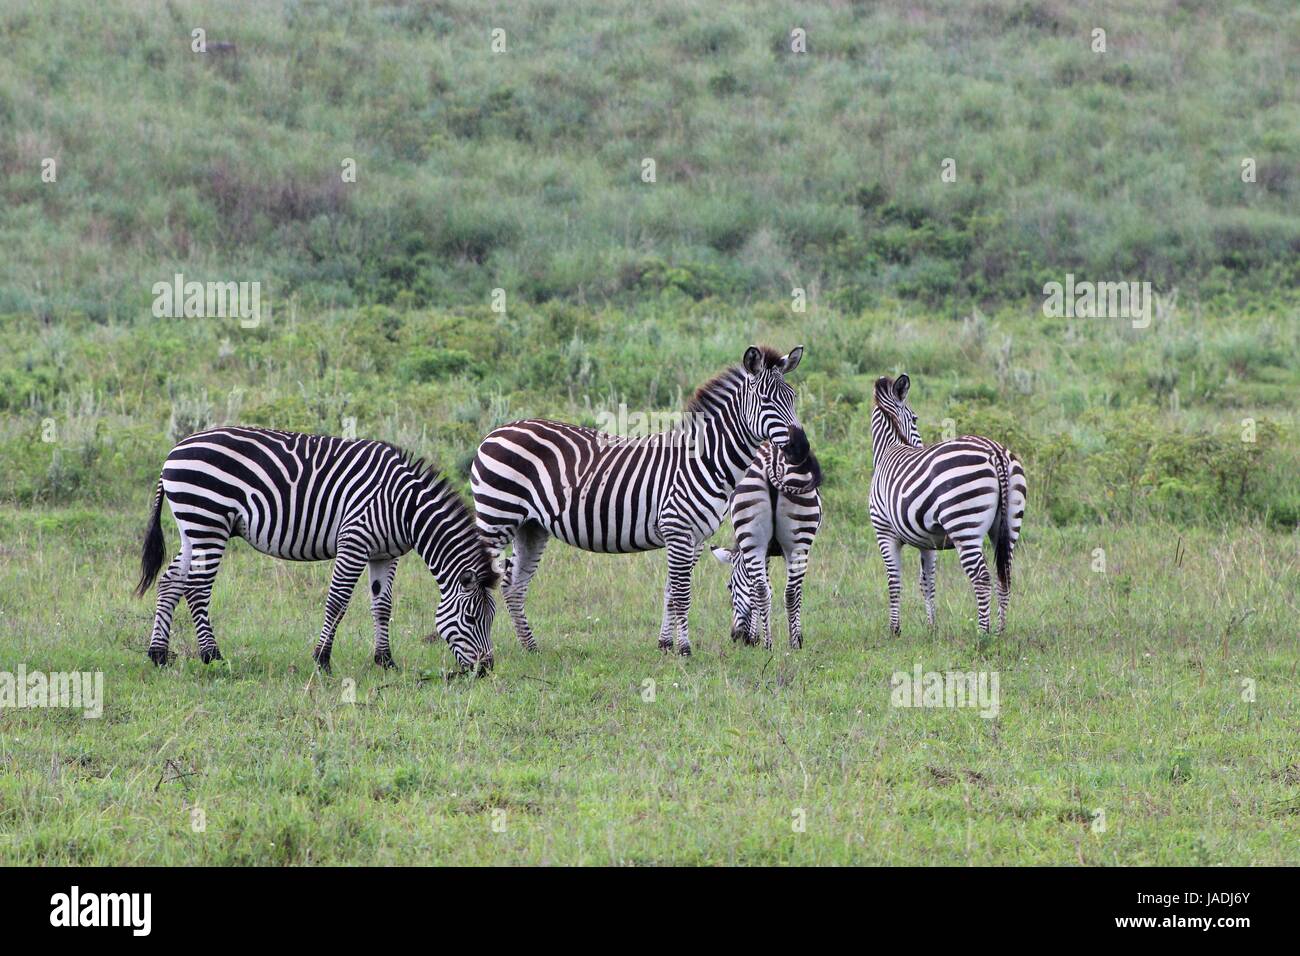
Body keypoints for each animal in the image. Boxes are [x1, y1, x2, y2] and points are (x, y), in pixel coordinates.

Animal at [133, 426, 499, 673]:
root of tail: (174, 451)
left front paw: (385, 661)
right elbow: (337, 602)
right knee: (197, 589)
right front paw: (322, 659)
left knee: (170, 581)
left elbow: (382, 606)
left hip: (193, 529)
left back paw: (158, 655)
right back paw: (213, 657)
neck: (404, 508)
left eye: (492, 619)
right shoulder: (355, 540)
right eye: (470, 618)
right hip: (208, 522)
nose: (486, 668)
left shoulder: (385, 554)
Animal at [470, 345, 809, 656]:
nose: (801, 450)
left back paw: (530, 647)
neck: (705, 460)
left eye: (793, 398)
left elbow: (671, 591)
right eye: (766, 401)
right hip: (497, 516)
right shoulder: (677, 529)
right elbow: (682, 594)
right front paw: (684, 650)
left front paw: (665, 644)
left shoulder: (696, 537)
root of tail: (496, 430)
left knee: (513, 584)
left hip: (530, 527)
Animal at [710, 442, 823, 650]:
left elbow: (763, 590)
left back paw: (771, 645)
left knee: (764, 590)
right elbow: (790, 591)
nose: (735, 636)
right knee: (788, 591)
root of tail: (773, 459)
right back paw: (789, 644)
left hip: (754, 537)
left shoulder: (767, 552)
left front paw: (755, 636)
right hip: (797, 539)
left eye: (729, 586)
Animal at [869, 374, 1027, 634]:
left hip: (964, 525)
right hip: (1009, 524)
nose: (920, 448)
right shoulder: (927, 542)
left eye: (914, 418)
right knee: (1005, 576)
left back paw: (983, 634)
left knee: (982, 578)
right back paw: (1000, 631)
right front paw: (932, 628)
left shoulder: (884, 531)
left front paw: (894, 630)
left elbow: (894, 581)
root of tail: (995, 452)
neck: (889, 449)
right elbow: (927, 582)